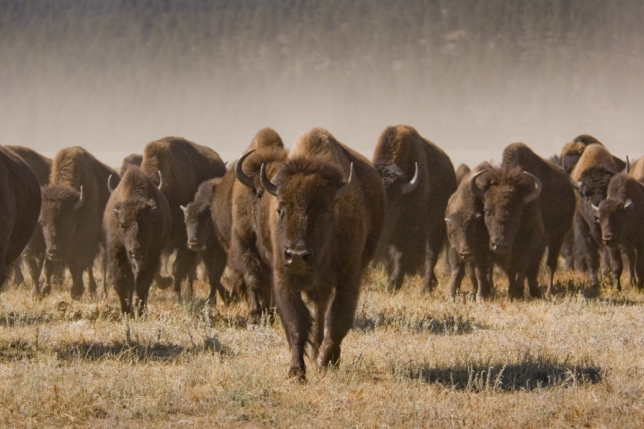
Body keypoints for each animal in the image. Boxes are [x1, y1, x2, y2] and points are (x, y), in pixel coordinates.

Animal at [104, 166, 171, 314]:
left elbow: (142, 283)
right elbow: (122, 281)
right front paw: (126, 311)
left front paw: (140, 312)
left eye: (148, 223)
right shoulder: (117, 251)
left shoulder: (152, 254)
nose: (136, 251)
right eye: (122, 225)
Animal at [262, 127, 385, 379]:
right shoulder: (283, 278)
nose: (297, 256)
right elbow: (296, 324)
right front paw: (296, 372)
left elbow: (338, 321)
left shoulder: (350, 278)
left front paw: (323, 361)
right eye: (280, 209)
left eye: (328, 211)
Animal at [372, 125, 457, 292]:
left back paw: (426, 287)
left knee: (431, 256)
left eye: (394, 201)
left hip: (436, 228)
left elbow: (401, 255)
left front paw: (393, 284)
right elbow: (389, 258)